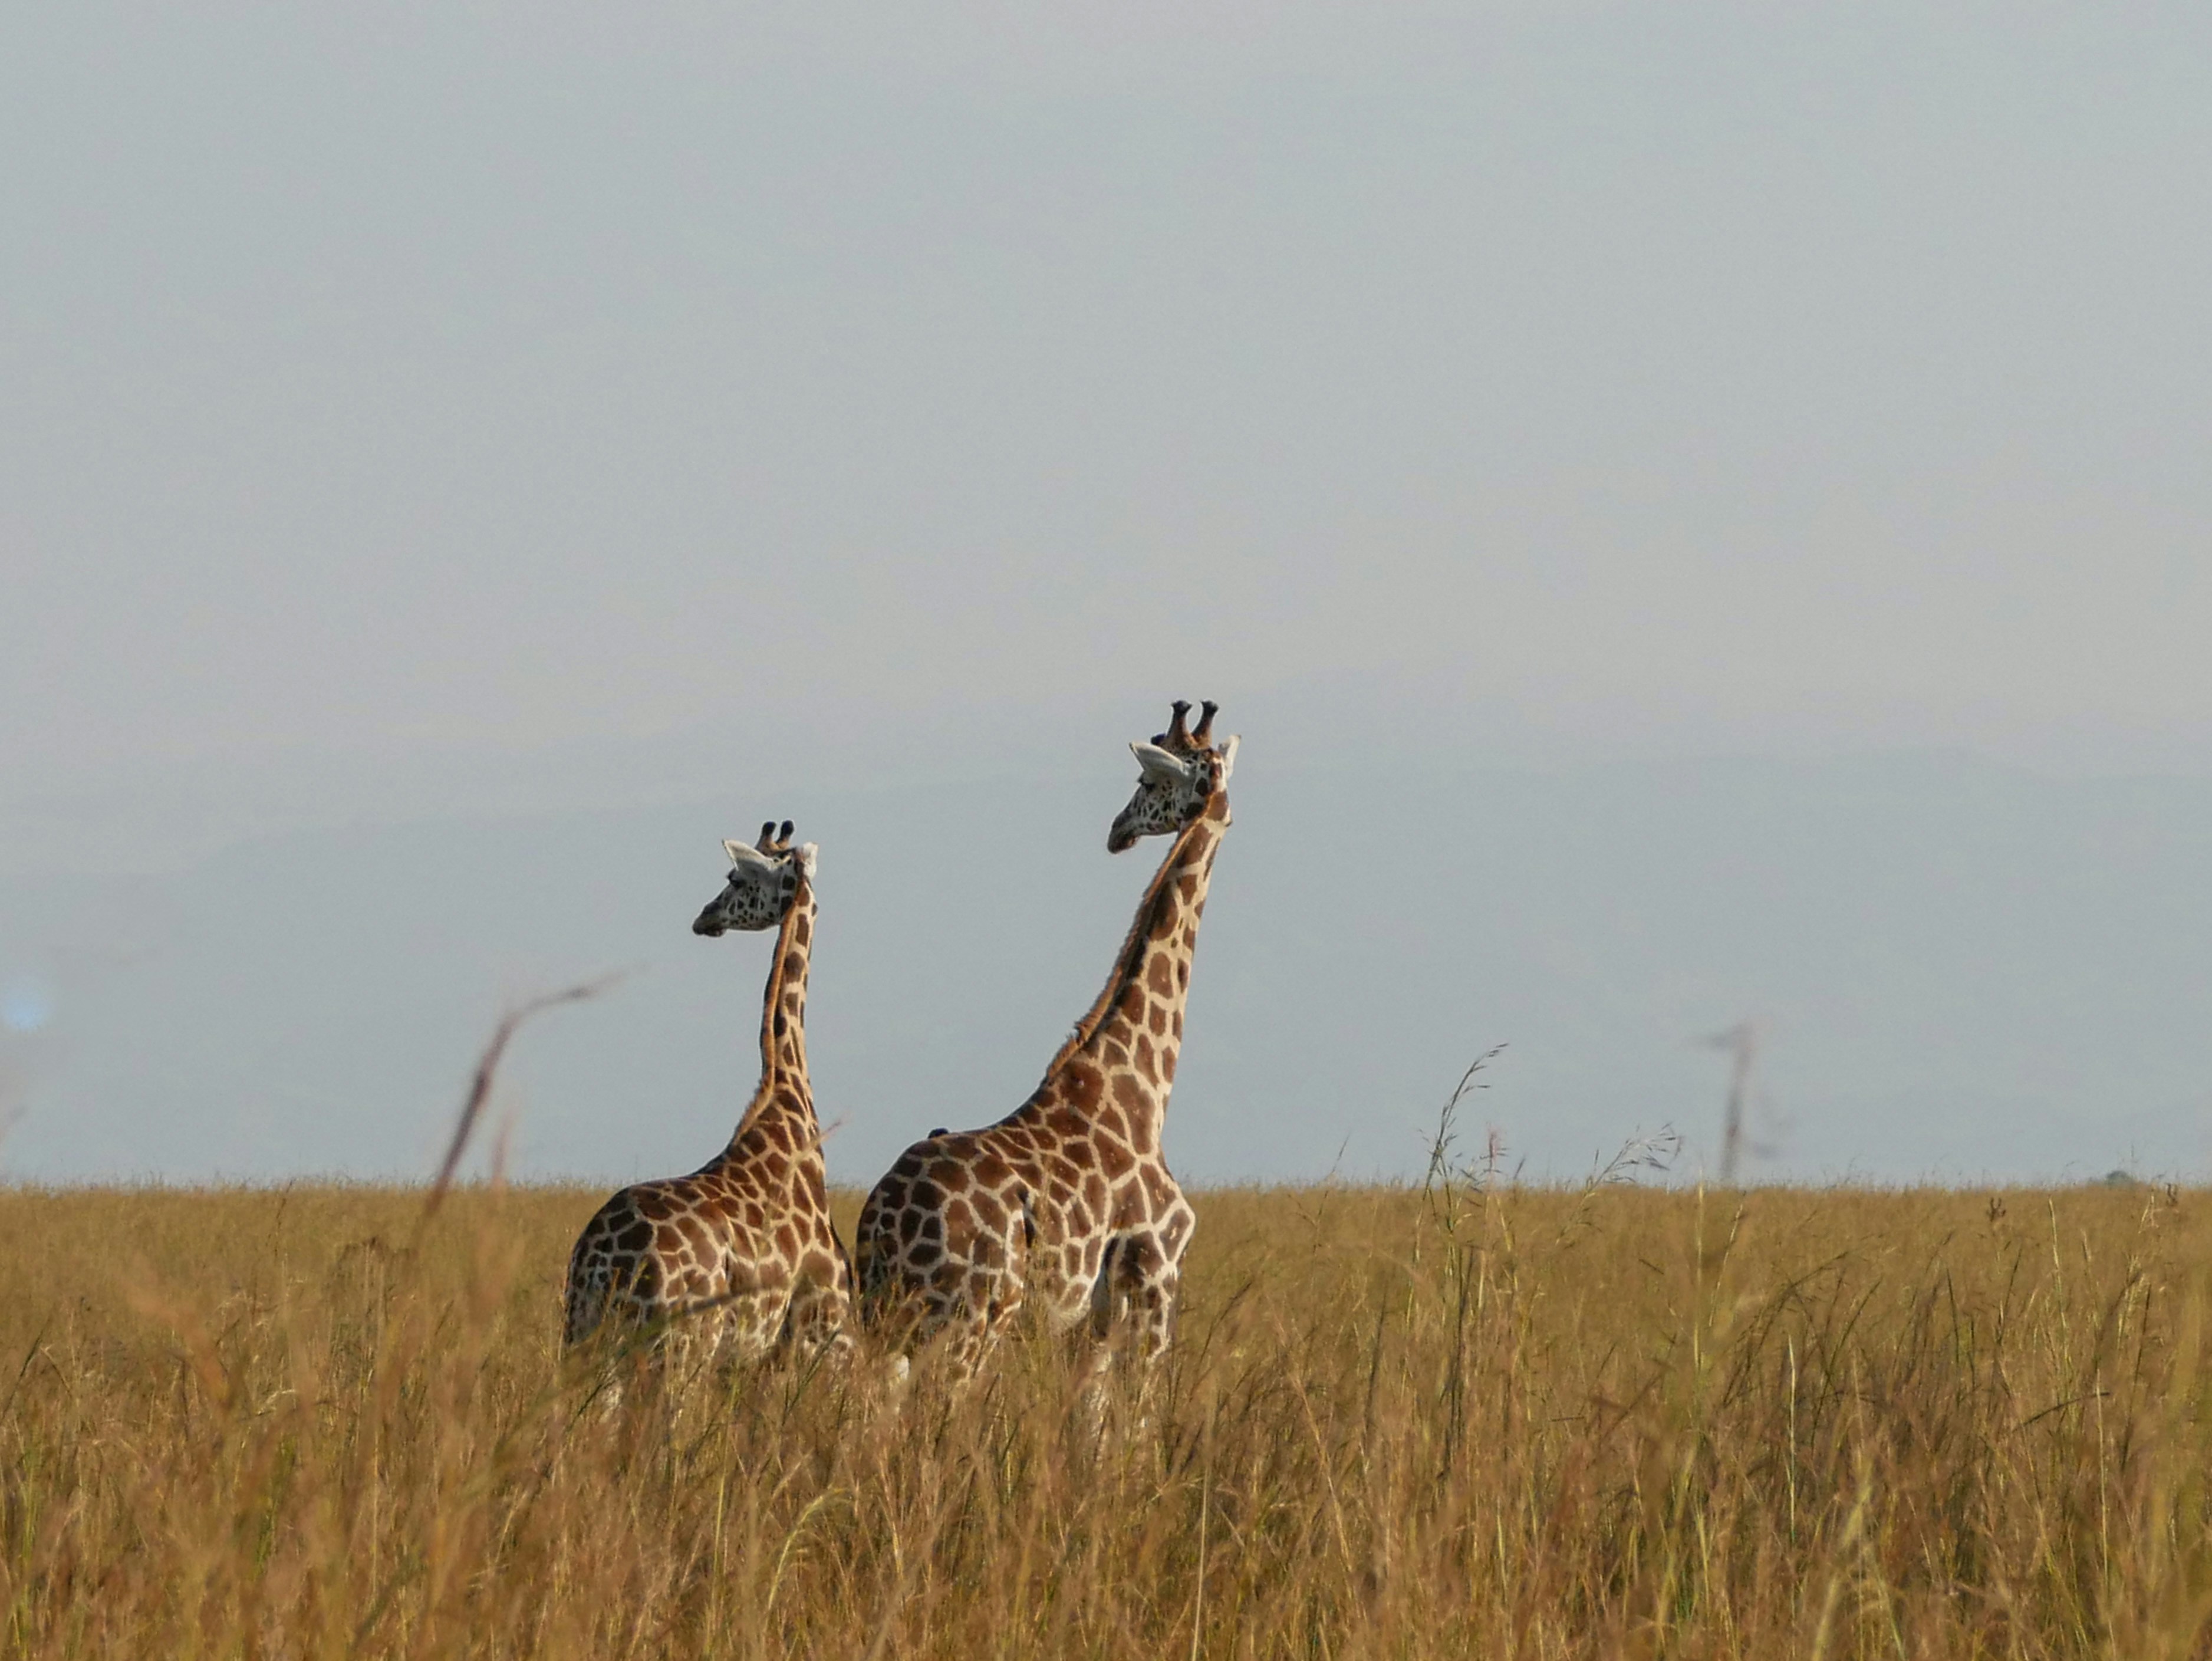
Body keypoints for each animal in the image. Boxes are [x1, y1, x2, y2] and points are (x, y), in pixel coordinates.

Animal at [563, 819, 852, 1376]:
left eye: (735, 880)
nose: (704, 917)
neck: (789, 1097)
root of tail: (600, 1260)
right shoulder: (822, 1322)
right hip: (681, 1346)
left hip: (584, 1339)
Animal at [854, 699, 1238, 1390]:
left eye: (1147, 782)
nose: (1117, 830)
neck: (1143, 1090)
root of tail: (883, 1218)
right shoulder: (1153, 1288)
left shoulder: (1086, 1327)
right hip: (972, 1318)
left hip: (889, 1319)